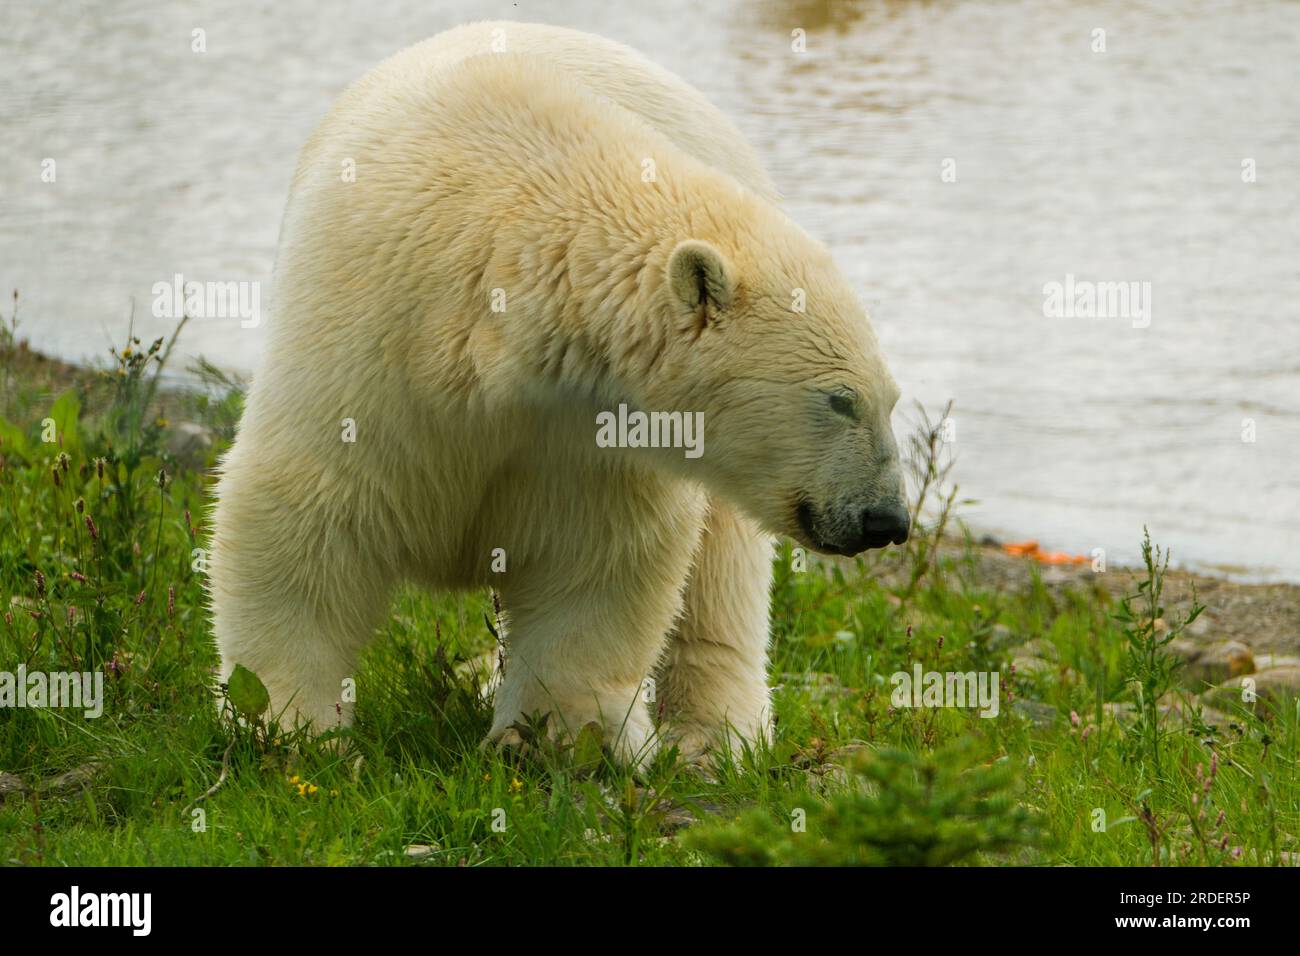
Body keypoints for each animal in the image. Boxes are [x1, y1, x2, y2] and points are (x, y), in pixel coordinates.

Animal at [209, 21, 909, 766]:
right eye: (841, 399)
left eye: (890, 400)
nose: (885, 520)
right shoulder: (379, 326)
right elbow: (309, 512)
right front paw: (292, 725)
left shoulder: (593, 429)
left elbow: (596, 557)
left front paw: (563, 739)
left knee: (724, 569)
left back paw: (715, 735)